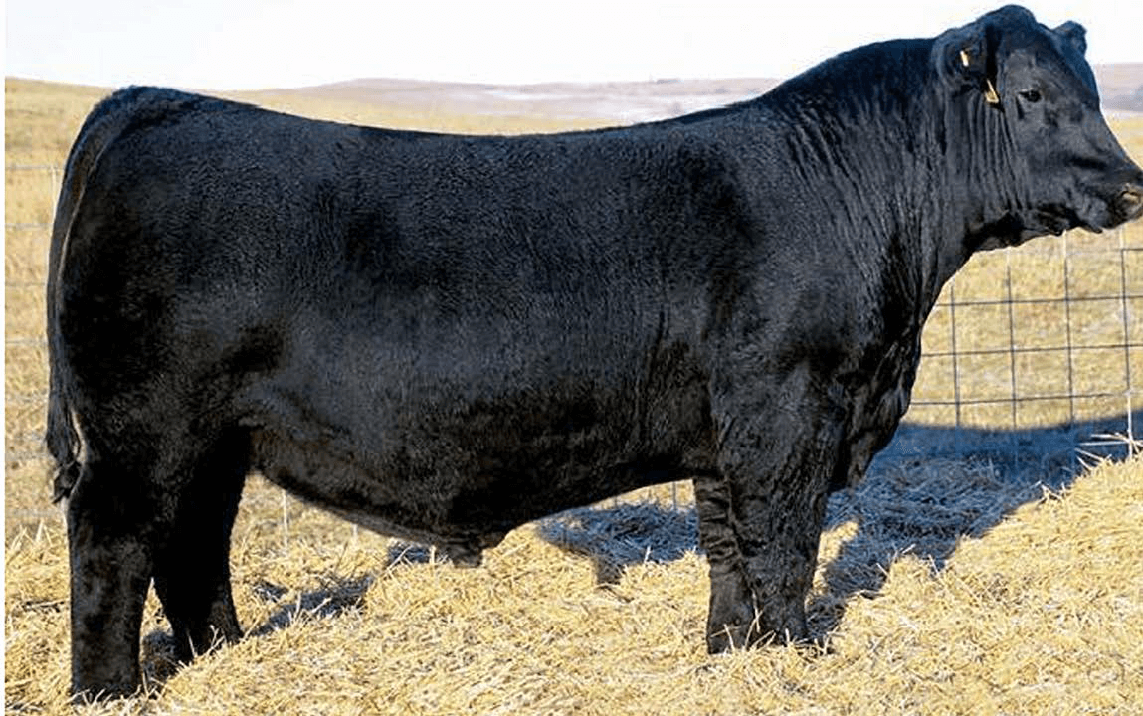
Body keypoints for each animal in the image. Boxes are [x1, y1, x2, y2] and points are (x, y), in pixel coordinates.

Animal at [47, 5, 1143, 700]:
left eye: (1090, 86)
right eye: (1031, 93)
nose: (1130, 185)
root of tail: (153, 99)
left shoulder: (722, 430)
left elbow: (728, 551)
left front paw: (729, 655)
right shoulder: (790, 411)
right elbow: (784, 550)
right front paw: (792, 659)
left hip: (215, 438)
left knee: (194, 542)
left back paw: (223, 658)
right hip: (143, 429)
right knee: (114, 544)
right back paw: (111, 691)